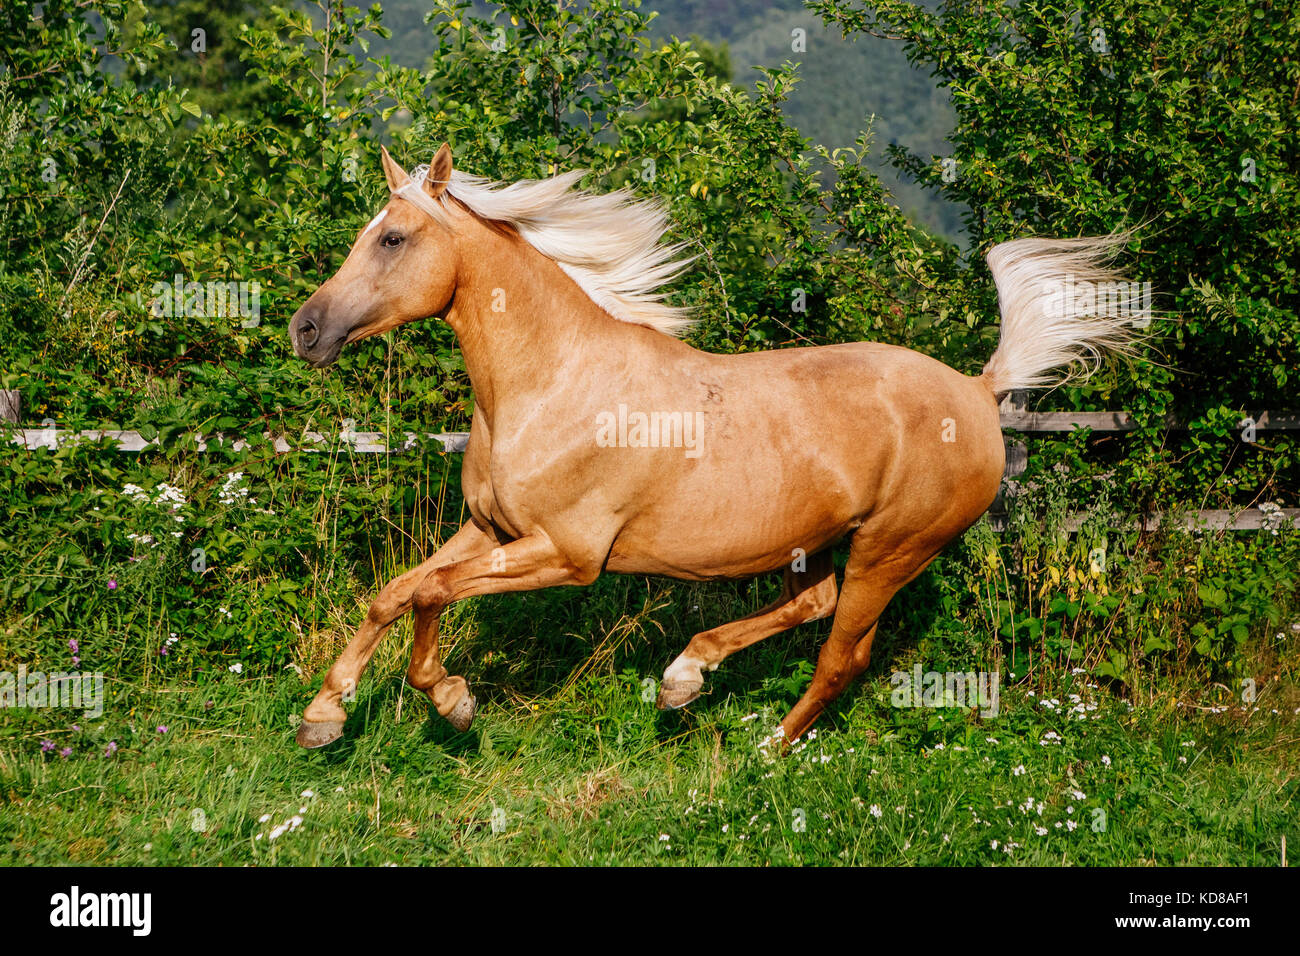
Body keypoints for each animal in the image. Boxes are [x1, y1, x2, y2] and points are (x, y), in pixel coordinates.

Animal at [288, 143, 1142, 749]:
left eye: (393, 238)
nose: (304, 329)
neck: (553, 383)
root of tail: (977, 390)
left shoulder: (565, 553)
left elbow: (431, 593)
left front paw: (454, 701)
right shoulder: (490, 529)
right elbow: (393, 592)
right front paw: (325, 716)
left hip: (893, 548)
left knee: (842, 654)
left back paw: (767, 749)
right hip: (817, 541)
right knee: (811, 603)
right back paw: (684, 677)